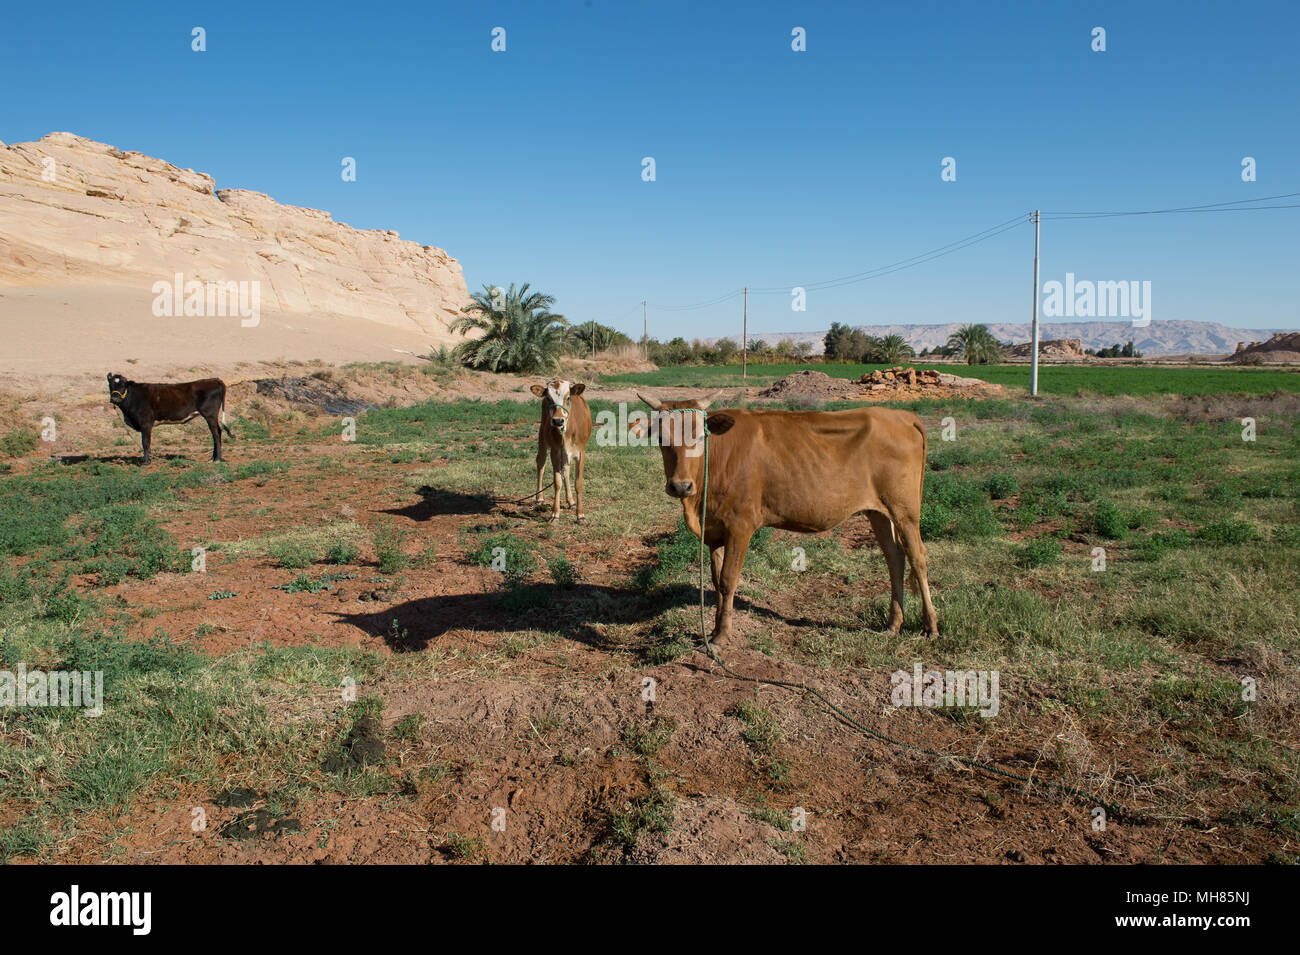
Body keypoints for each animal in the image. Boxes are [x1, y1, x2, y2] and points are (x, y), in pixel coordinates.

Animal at [530, 379, 593, 522]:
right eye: (548, 398)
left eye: (568, 398)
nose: (558, 420)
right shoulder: (555, 452)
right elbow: (557, 482)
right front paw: (555, 514)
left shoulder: (581, 453)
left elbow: (578, 483)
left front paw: (580, 514)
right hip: (542, 436)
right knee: (540, 462)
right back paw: (539, 497)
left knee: (566, 471)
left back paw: (571, 501)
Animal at [634, 391, 938, 646]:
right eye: (660, 439)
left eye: (699, 437)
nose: (680, 486)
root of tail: (901, 415)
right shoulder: (715, 529)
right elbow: (716, 580)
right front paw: (714, 629)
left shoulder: (740, 525)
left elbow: (728, 579)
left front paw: (721, 636)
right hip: (878, 512)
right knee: (894, 557)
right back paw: (893, 624)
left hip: (905, 510)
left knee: (917, 557)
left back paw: (930, 626)